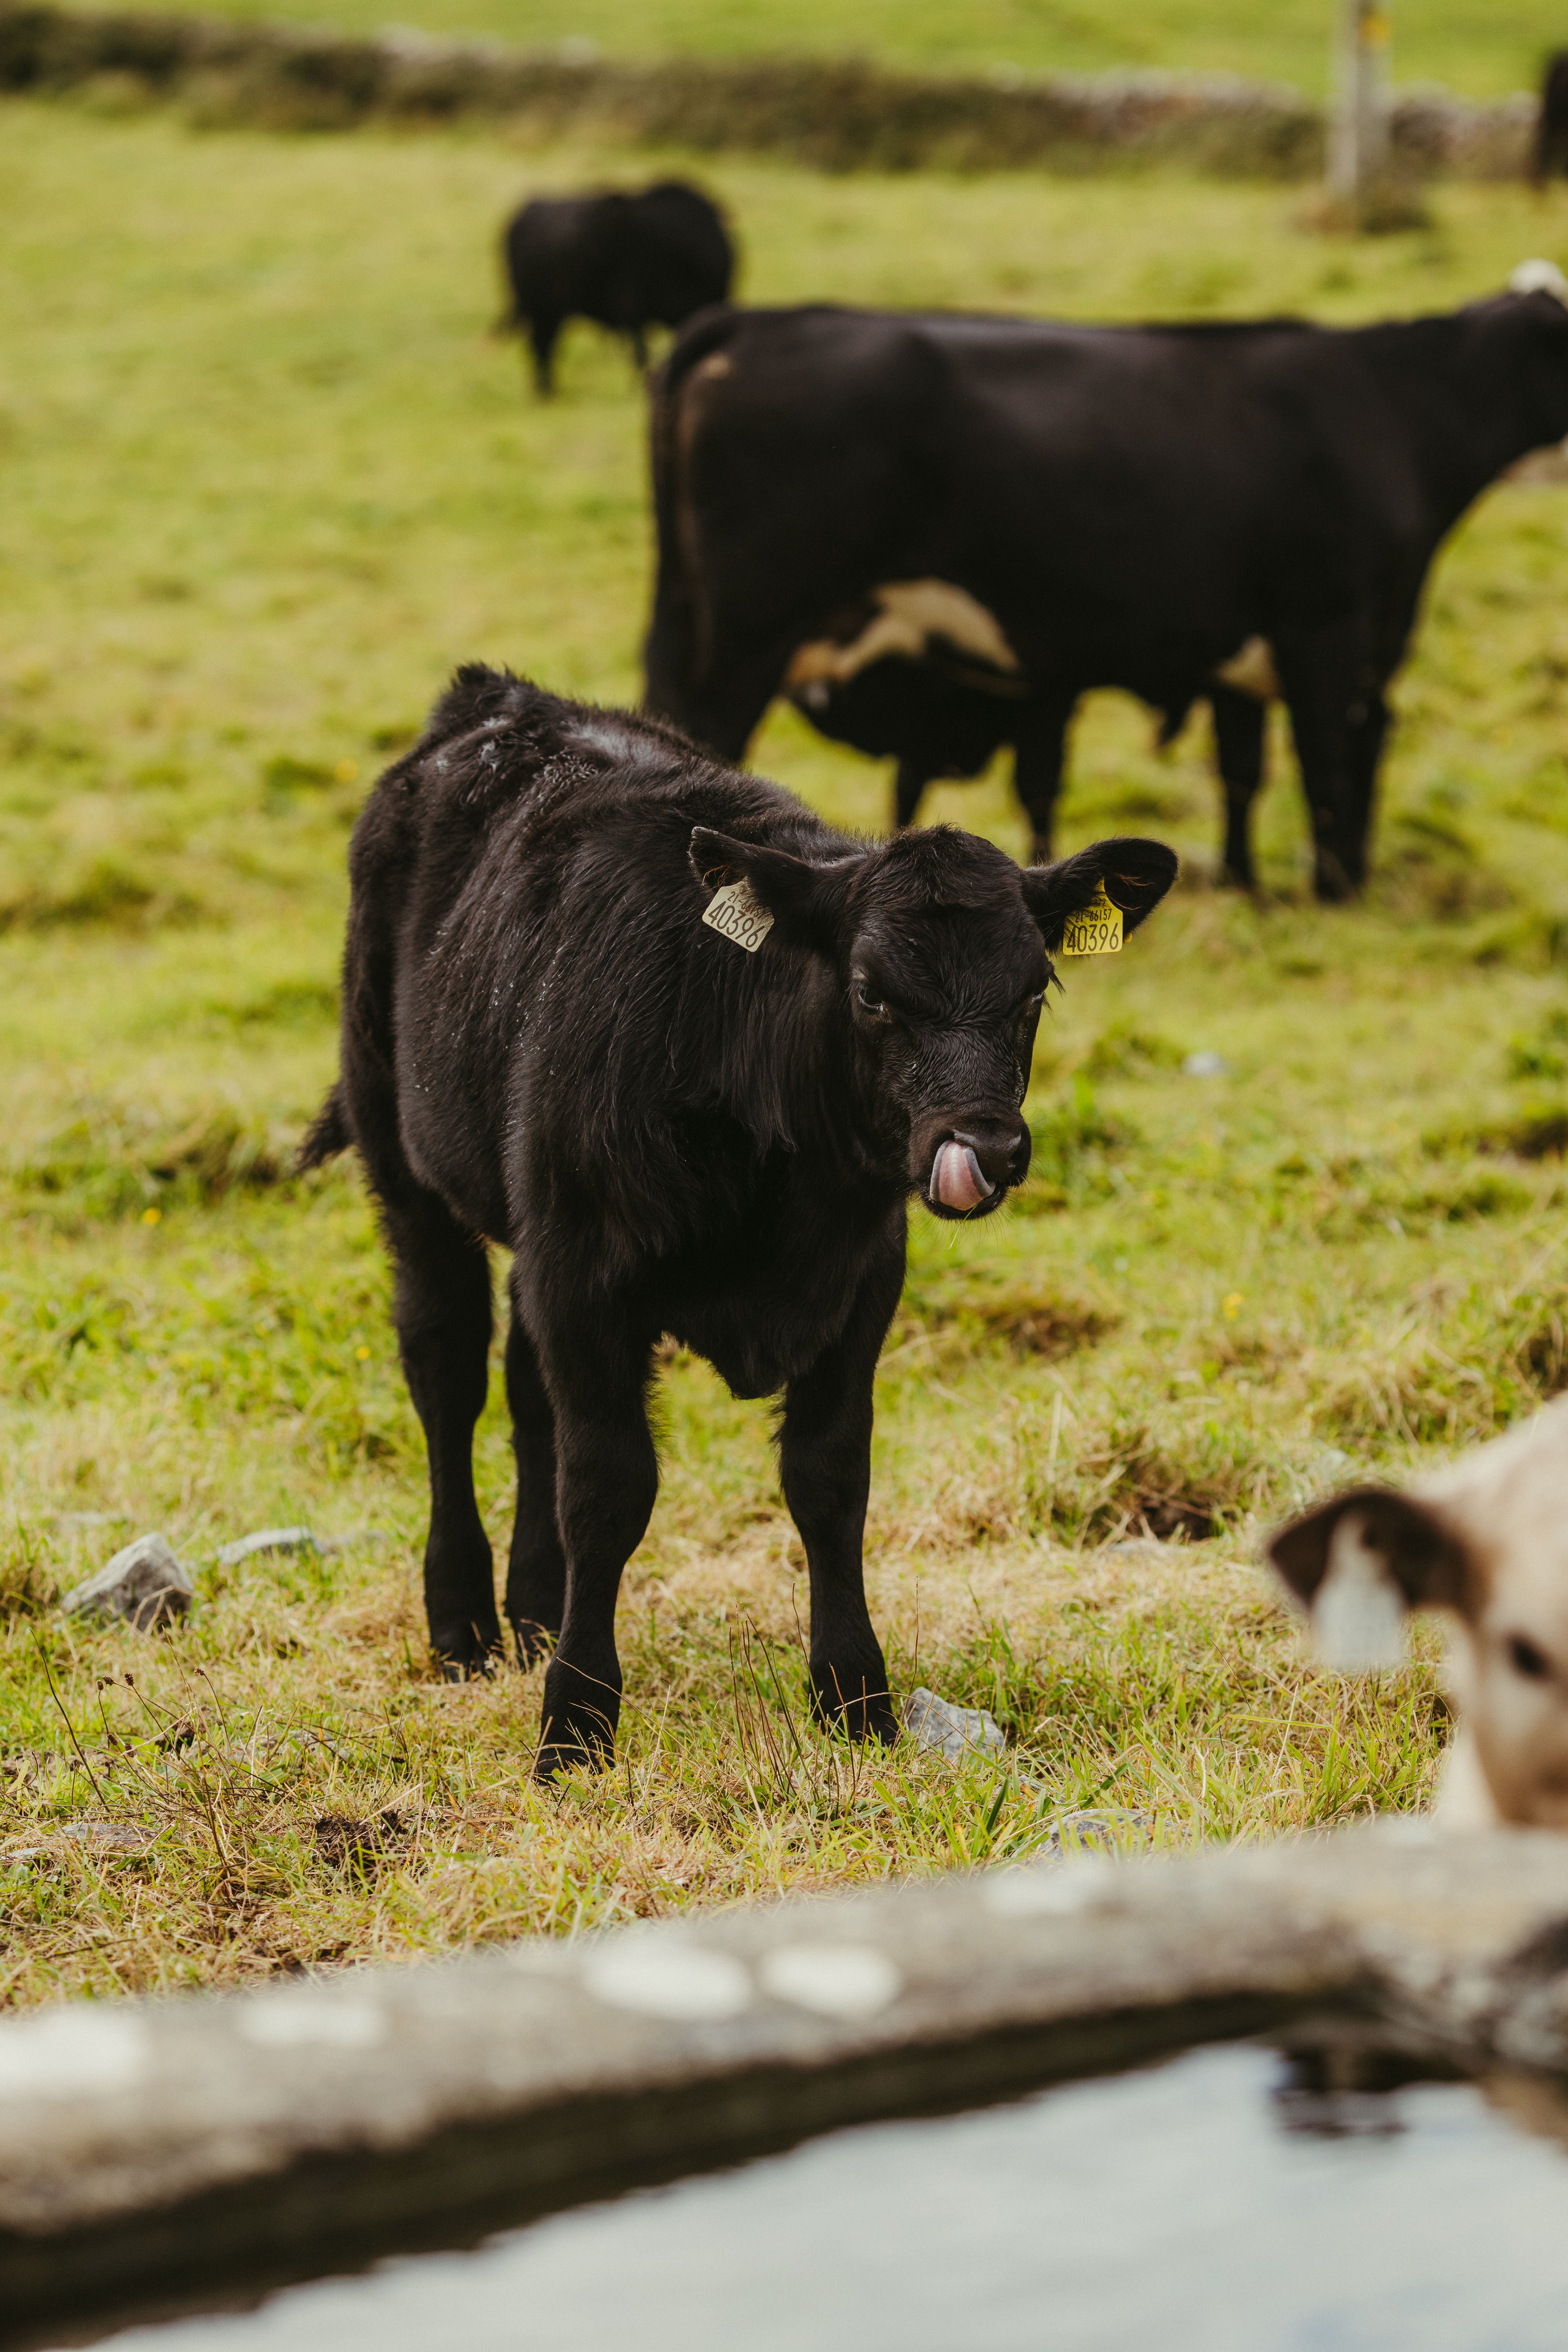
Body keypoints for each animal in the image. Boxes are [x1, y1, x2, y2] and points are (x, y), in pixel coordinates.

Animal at [300, 665, 1176, 1775]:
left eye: (1034, 991)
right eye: (870, 993)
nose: (986, 1144)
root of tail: (495, 700)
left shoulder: (859, 1277)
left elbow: (827, 1480)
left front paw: (854, 1693)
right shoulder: (586, 1274)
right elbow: (609, 1488)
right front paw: (575, 1722)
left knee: (525, 1388)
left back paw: (535, 1607)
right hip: (404, 1162)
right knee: (447, 1367)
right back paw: (462, 1622)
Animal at [500, 181, 733, 397]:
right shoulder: (631, 307)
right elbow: (641, 352)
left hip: (551, 313)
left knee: (545, 346)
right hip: (541, 311)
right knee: (541, 347)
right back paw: (546, 392)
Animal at [643, 268, 1568, 899]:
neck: (1394, 409)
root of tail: (760, 318)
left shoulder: (1246, 655)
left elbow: (1244, 771)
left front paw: (1243, 884)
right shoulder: (1327, 638)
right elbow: (1328, 769)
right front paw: (1329, 892)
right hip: (748, 633)